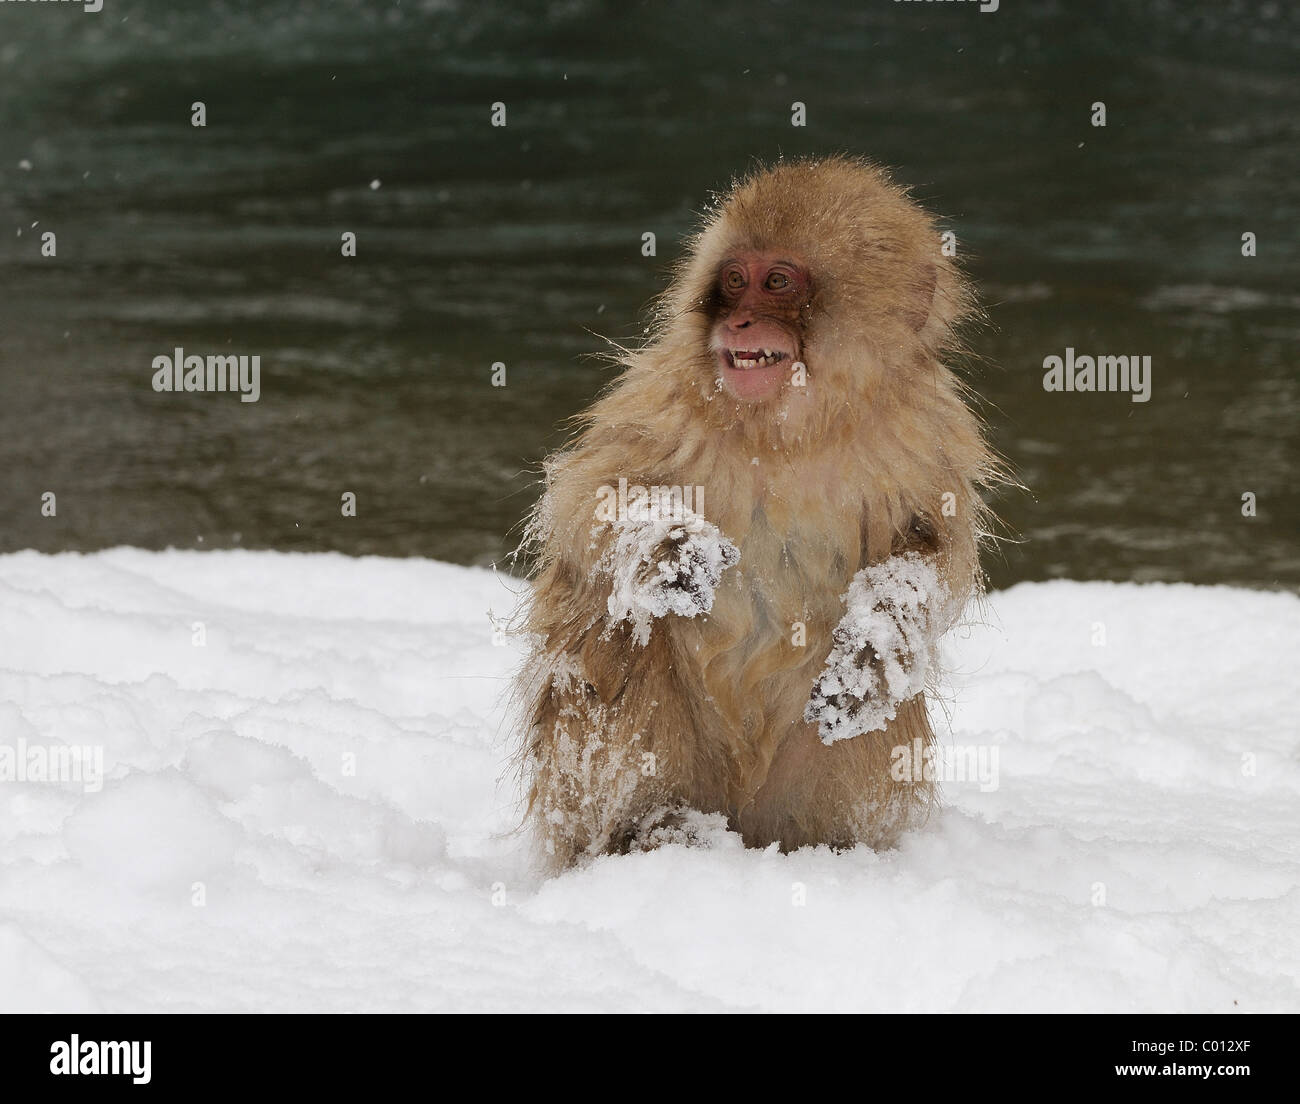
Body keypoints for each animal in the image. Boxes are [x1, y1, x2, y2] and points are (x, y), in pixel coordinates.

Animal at [513, 155, 1003, 870]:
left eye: (777, 282)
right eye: (734, 281)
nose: (740, 323)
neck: (790, 429)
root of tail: (741, 822)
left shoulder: (928, 429)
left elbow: (932, 552)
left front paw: (873, 650)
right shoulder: (664, 394)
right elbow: (589, 501)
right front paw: (670, 547)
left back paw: (830, 846)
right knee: (619, 629)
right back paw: (654, 828)